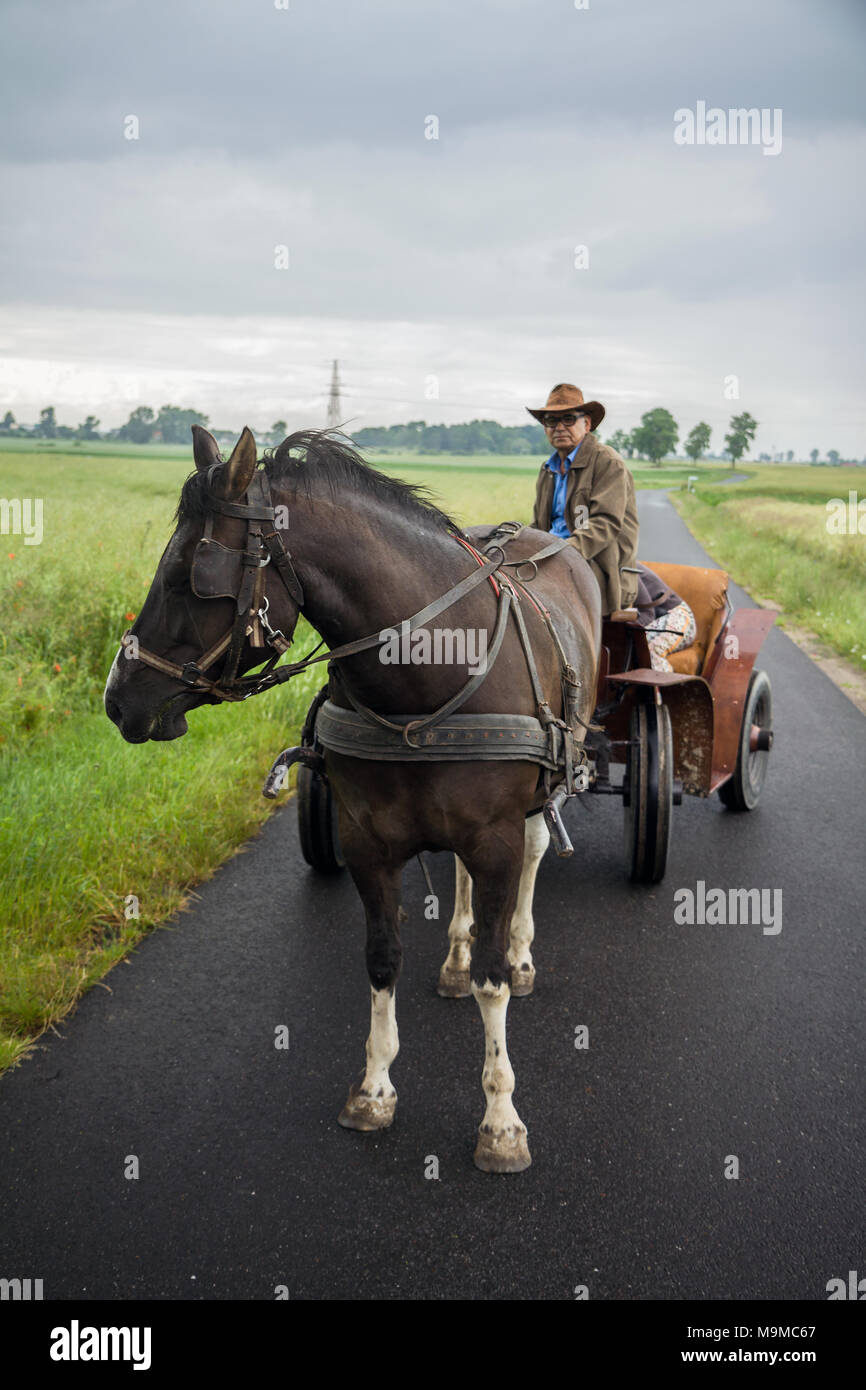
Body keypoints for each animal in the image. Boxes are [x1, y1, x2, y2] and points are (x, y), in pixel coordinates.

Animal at [104, 426, 600, 1172]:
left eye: (191, 572)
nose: (117, 700)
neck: (429, 673)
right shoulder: (368, 840)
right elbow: (382, 959)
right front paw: (373, 1090)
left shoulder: (496, 838)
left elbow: (492, 983)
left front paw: (501, 1119)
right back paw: (454, 957)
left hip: (545, 788)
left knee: (537, 854)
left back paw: (519, 952)